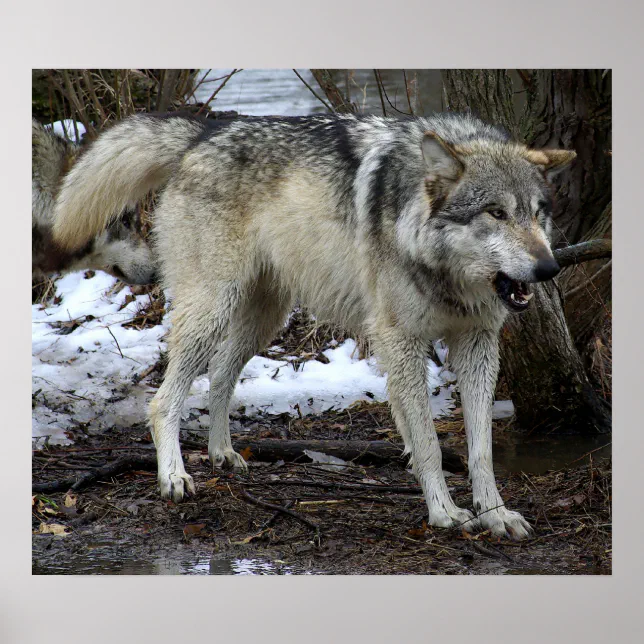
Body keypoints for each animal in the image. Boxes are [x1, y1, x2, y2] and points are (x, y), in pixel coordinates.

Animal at [53, 112, 575, 540]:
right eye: (496, 213)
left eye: (536, 212)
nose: (549, 269)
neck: (444, 268)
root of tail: (205, 132)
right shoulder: (401, 342)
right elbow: (428, 441)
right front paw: (445, 512)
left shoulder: (476, 343)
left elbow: (480, 447)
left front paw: (495, 514)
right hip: (212, 310)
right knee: (163, 400)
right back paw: (175, 478)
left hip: (262, 320)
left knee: (219, 377)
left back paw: (224, 454)